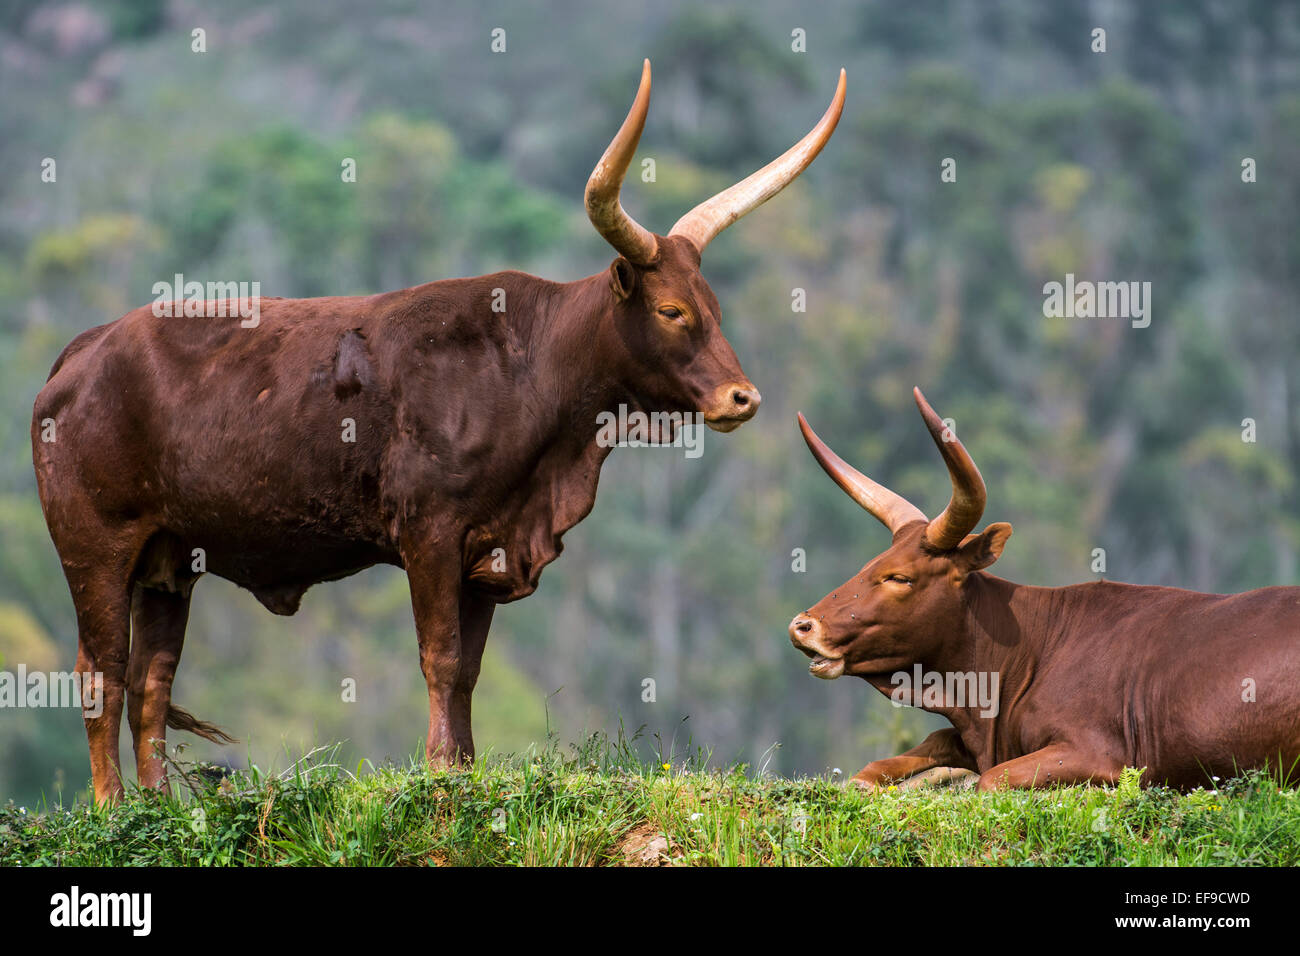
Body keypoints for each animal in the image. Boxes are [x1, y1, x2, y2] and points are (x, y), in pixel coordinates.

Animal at [32, 60, 847, 803]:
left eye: (715, 305)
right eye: (673, 310)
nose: (743, 397)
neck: (532, 370)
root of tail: (85, 351)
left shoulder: (490, 547)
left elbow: (470, 671)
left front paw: (464, 768)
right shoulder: (429, 532)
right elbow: (442, 657)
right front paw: (438, 774)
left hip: (170, 561)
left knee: (152, 682)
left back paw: (161, 810)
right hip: (95, 547)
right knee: (101, 674)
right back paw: (112, 810)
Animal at [789, 387, 1300, 791]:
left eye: (900, 577)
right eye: (871, 565)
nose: (802, 626)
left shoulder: (1099, 756)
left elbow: (990, 780)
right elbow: (886, 764)